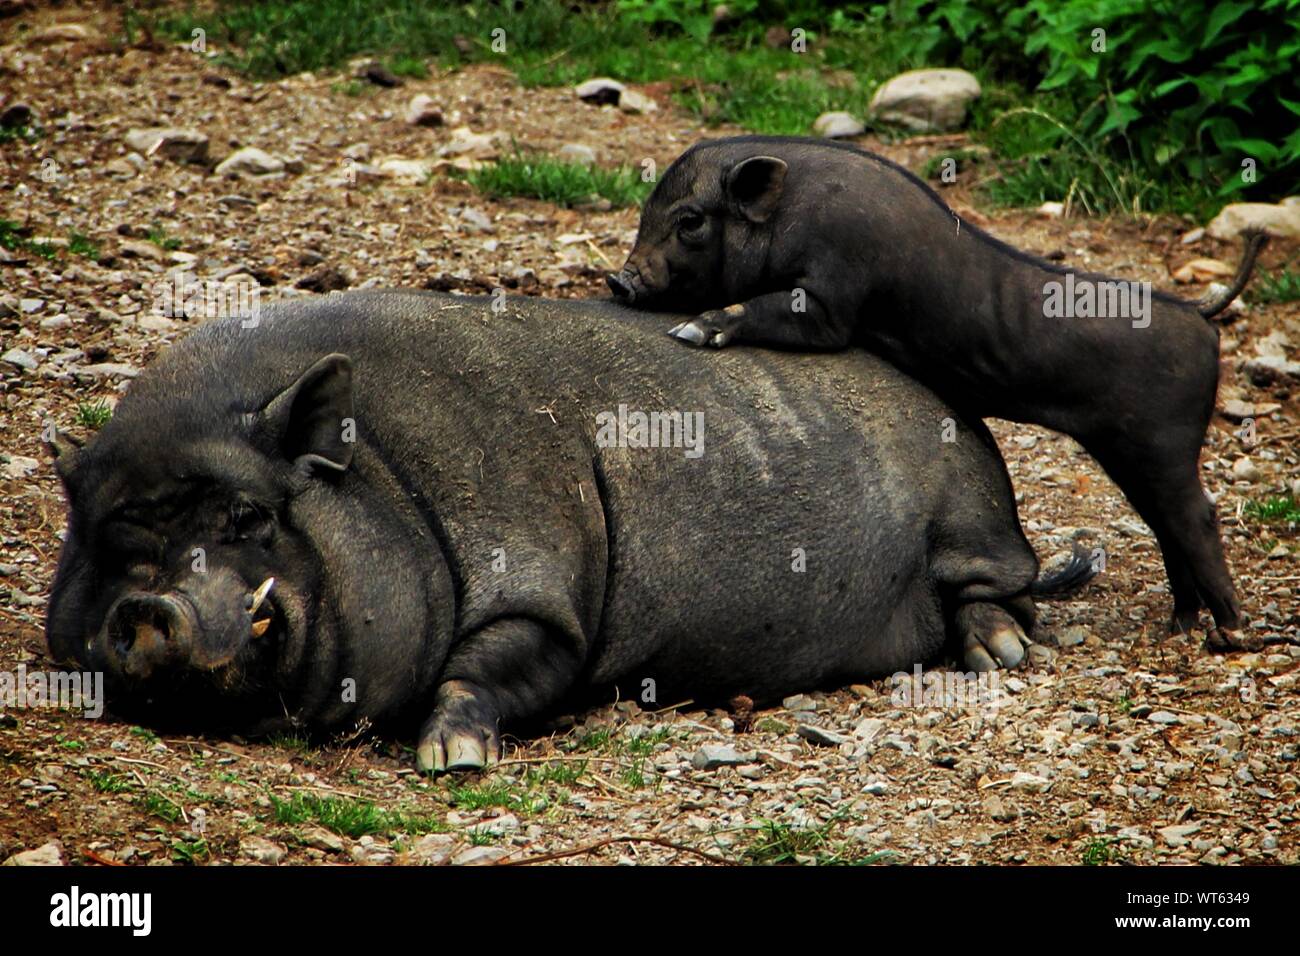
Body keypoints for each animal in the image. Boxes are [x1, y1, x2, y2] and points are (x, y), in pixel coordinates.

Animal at [45, 290, 1091, 772]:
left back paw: (1000, 656)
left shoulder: (550, 600)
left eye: (252, 517)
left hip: (974, 509)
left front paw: (452, 761)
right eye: (109, 544)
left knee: (999, 586)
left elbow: (493, 665)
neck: (387, 474)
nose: (154, 608)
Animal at [607, 135, 1268, 647]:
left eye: (690, 220)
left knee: (1197, 516)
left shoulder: (830, 303)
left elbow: (783, 314)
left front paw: (693, 330)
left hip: (1164, 440)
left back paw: (1229, 633)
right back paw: (1180, 625)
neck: (793, 212)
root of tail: (1200, 313)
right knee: (1166, 525)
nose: (619, 279)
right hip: (1133, 454)